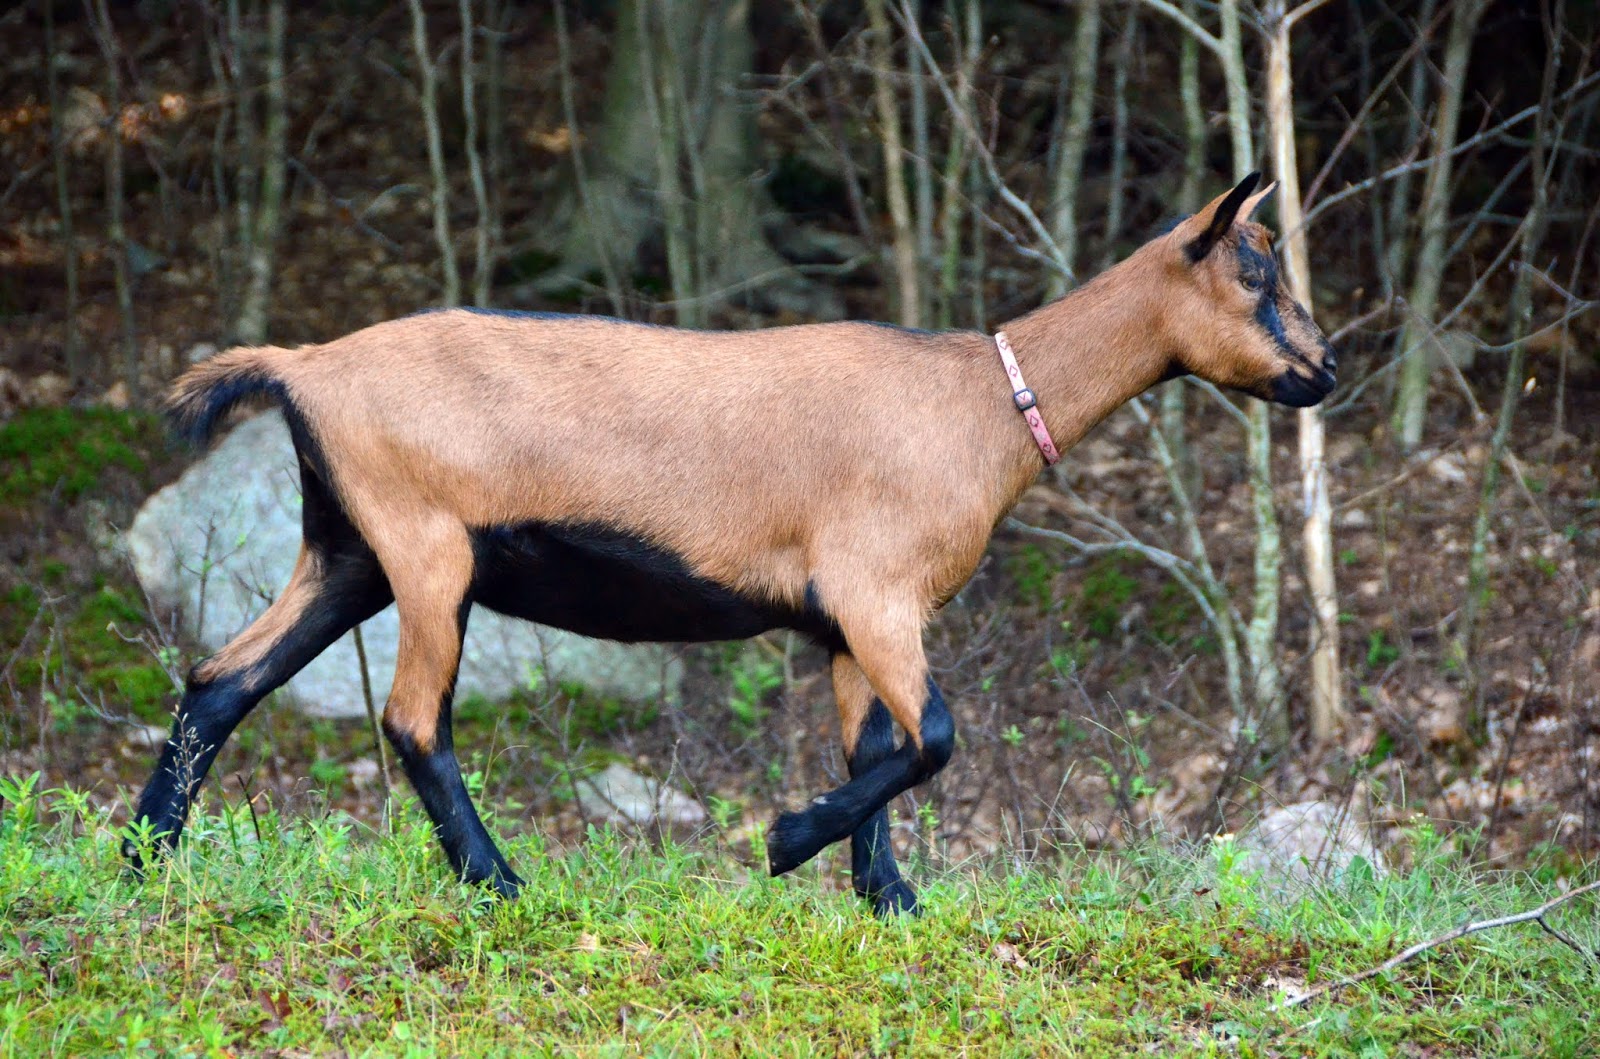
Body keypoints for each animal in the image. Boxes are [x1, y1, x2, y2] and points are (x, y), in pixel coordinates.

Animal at [127, 172, 1335, 916]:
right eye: (1255, 275)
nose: (1322, 372)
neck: (978, 401)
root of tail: (304, 367)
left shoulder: (851, 623)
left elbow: (879, 749)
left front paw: (889, 900)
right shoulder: (876, 592)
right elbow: (936, 738)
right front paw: (787, 841)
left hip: (349, 551)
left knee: (221, 680)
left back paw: (147, 861)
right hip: (428, 548)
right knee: (414, 719)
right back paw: (498, 882)